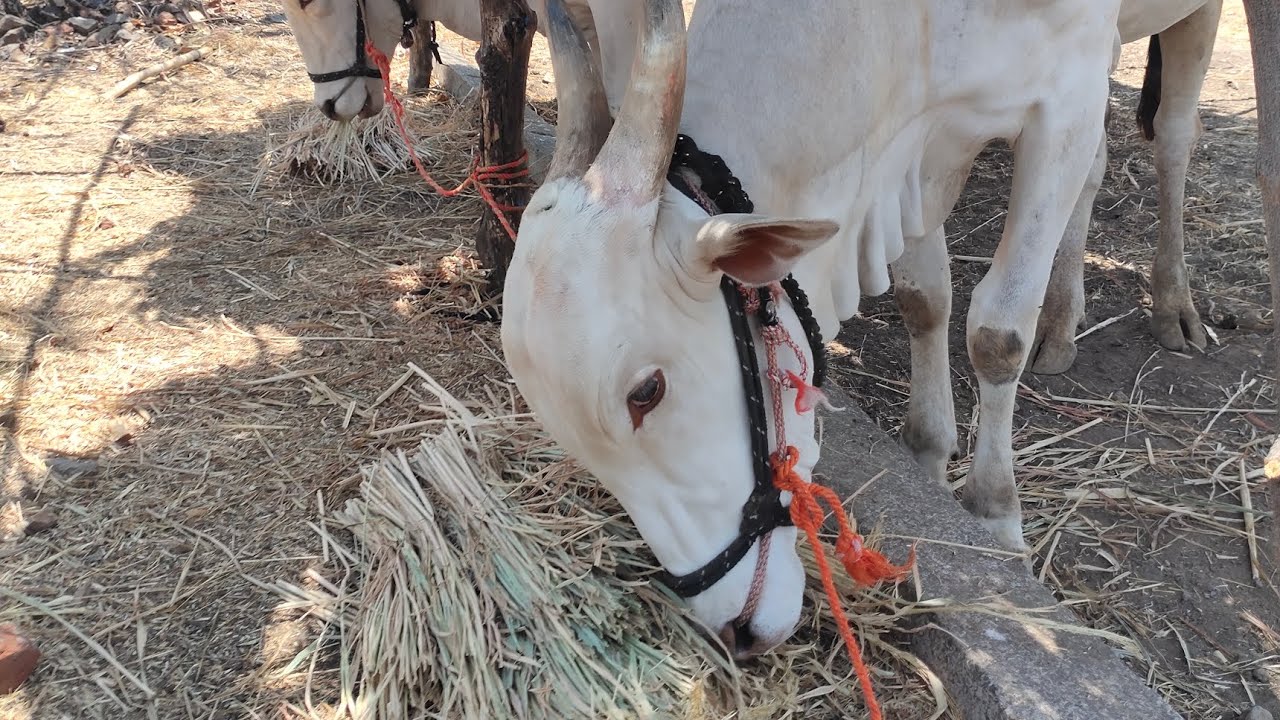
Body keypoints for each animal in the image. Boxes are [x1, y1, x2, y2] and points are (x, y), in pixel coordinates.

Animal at [500, 0, 1126, 659]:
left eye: (646, 391)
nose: (737, 632)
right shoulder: (915, 152)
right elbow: (923, 297)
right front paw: (930, 454)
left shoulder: (1070, 97)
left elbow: (998, 333)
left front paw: (993, 518)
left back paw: (1076, 321)